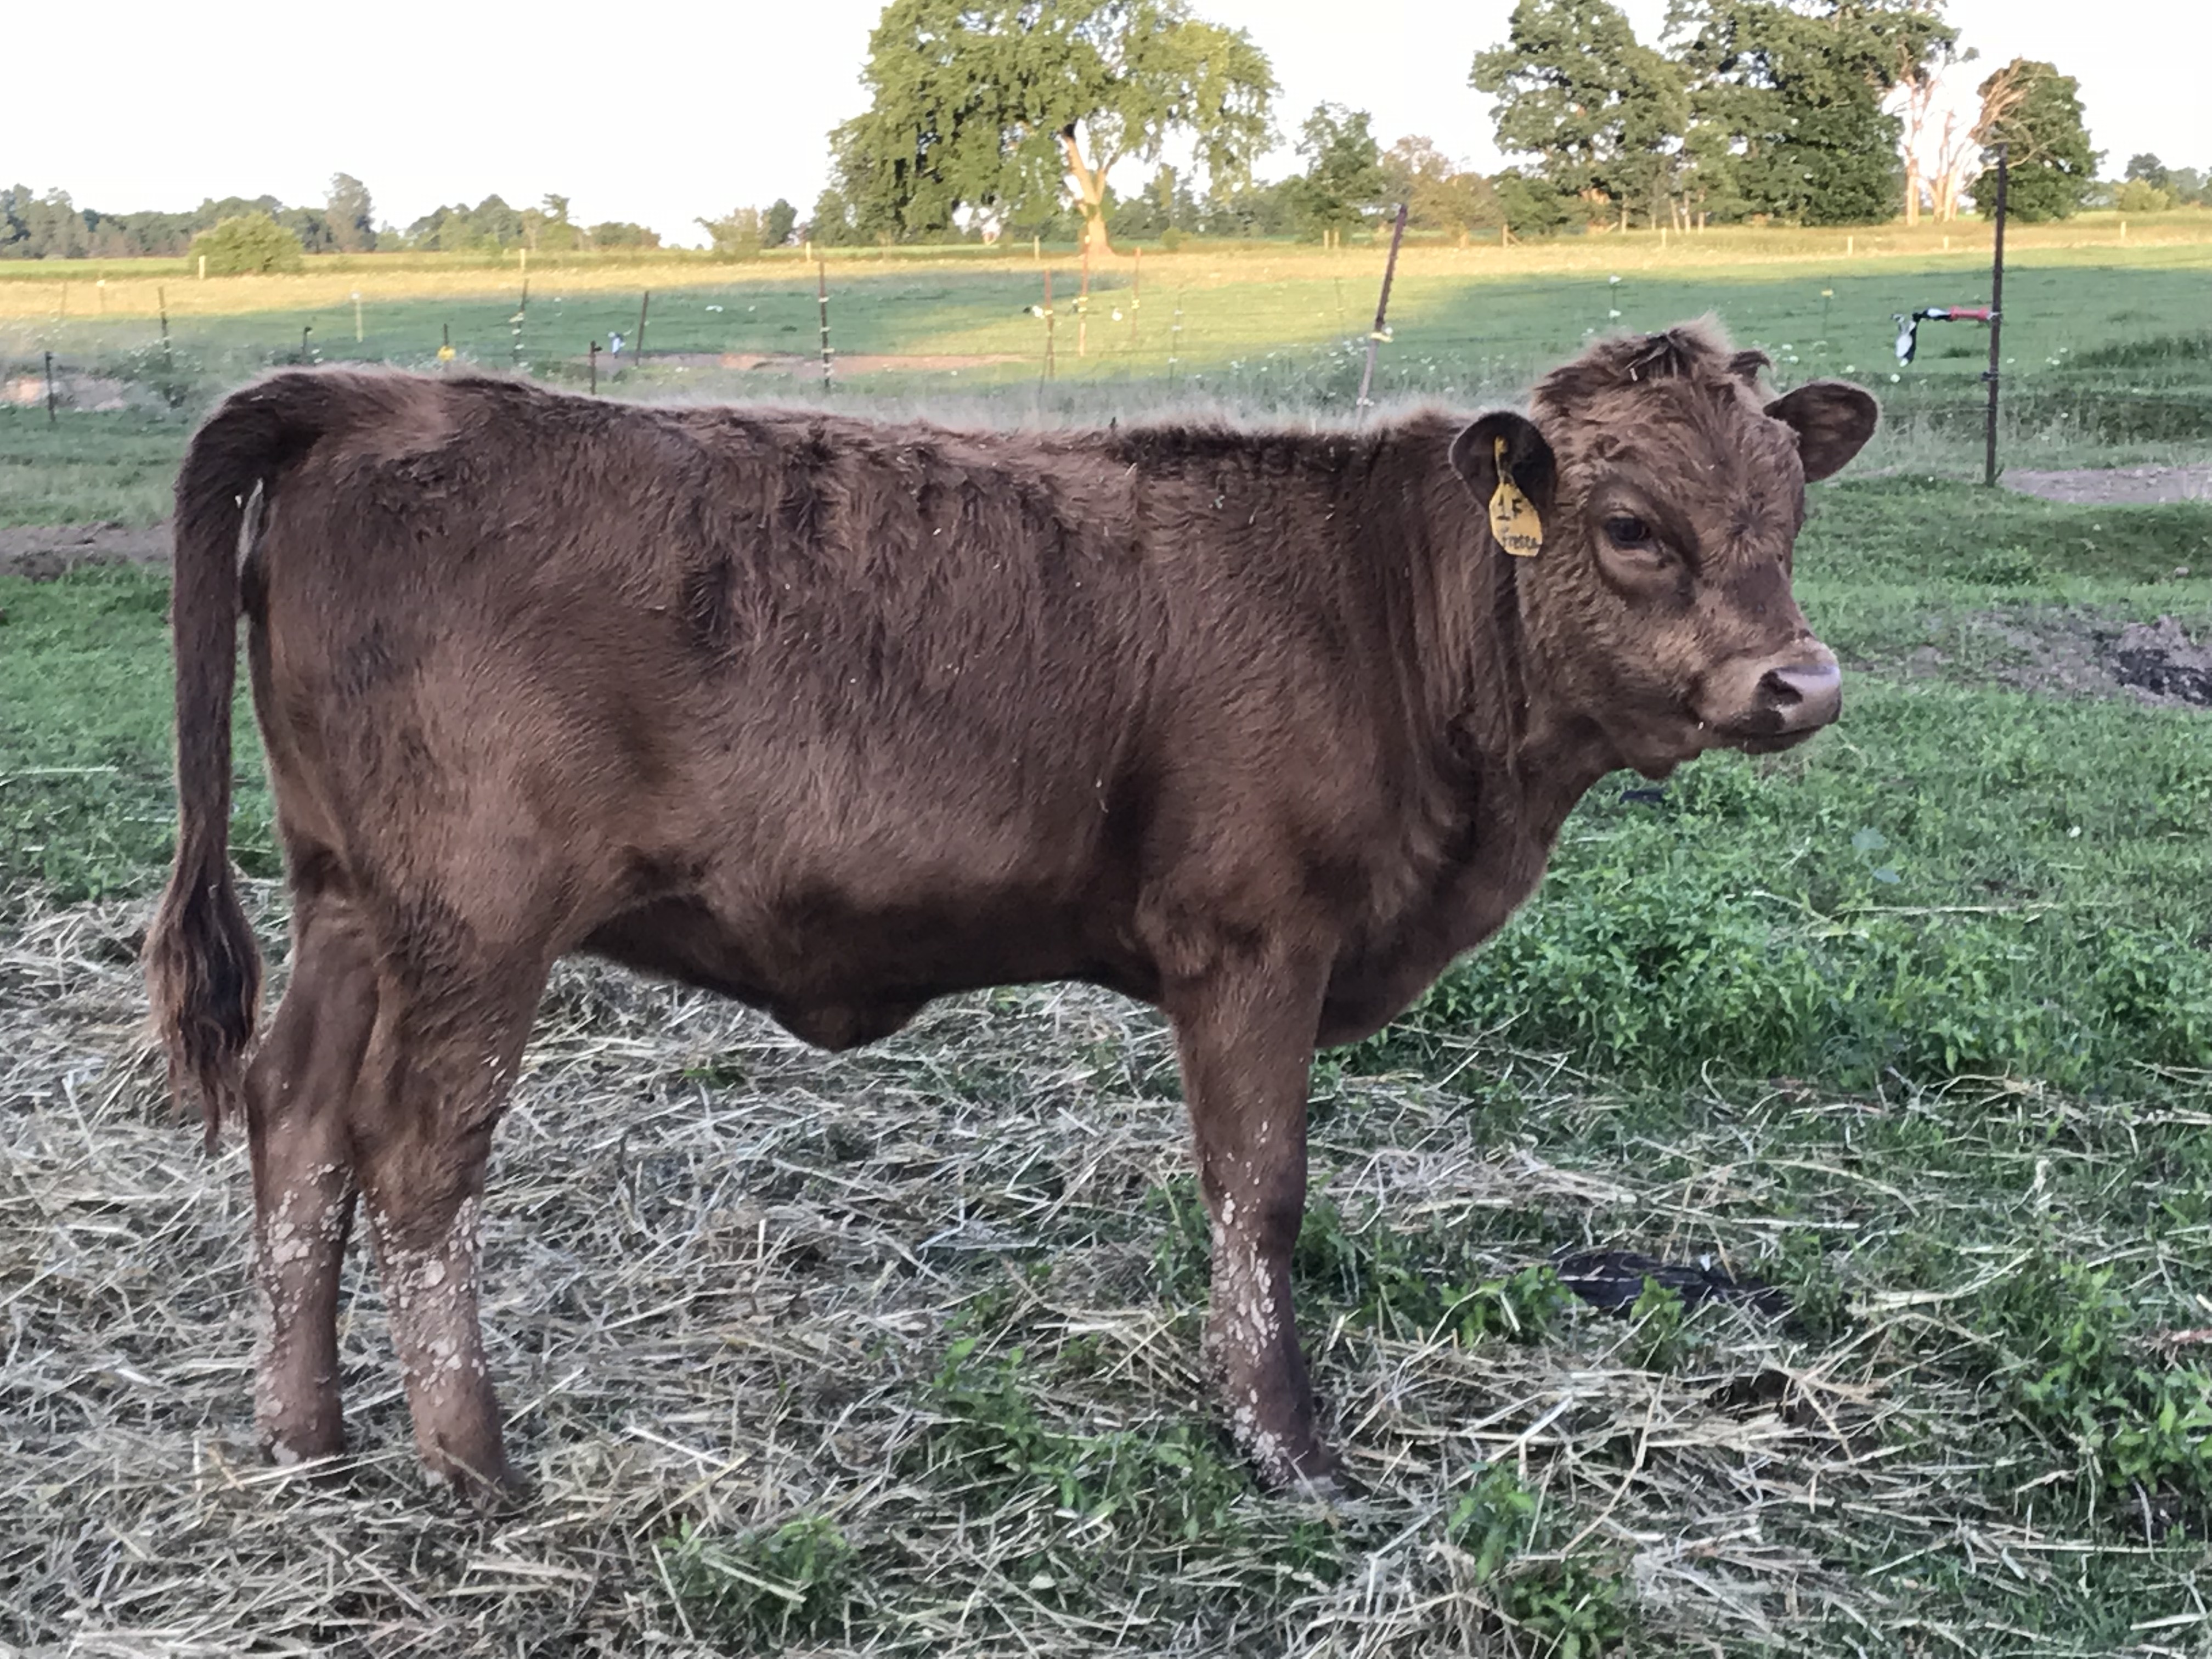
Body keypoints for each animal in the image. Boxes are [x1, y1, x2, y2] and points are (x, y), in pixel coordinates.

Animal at [145, 321, 1875, 1503]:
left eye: (1793, 512)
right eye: (1633, 526)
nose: (1803, 683)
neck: (1383, 611)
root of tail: (376, 393)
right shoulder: (1254, 943)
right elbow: (1262, 1196)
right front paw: (1283, 1438)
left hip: (349, 902)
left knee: (298, 1117)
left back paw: (303, 1434)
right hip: (475, 923)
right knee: (417, 1153)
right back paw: (471, 1460)